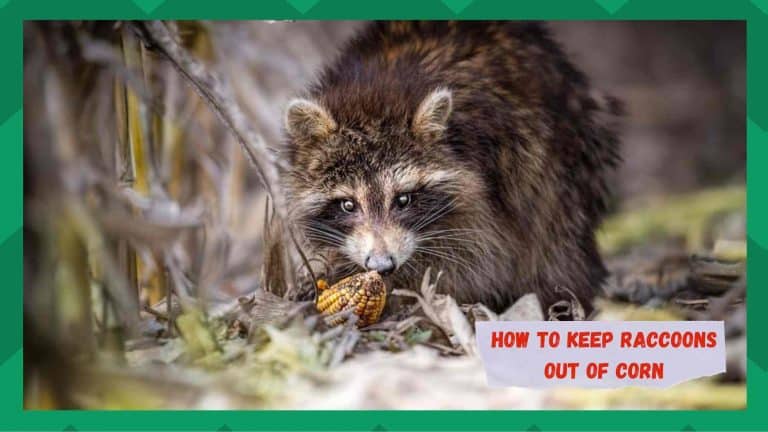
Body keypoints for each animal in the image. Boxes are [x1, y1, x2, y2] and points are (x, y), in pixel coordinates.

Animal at [282, 21, 620, 314]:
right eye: (348, 204)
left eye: (403, 199)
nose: (382, 266)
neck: (375, 97)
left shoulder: (495, 181)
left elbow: (481, 258)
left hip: (565, 164)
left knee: (553, 237)